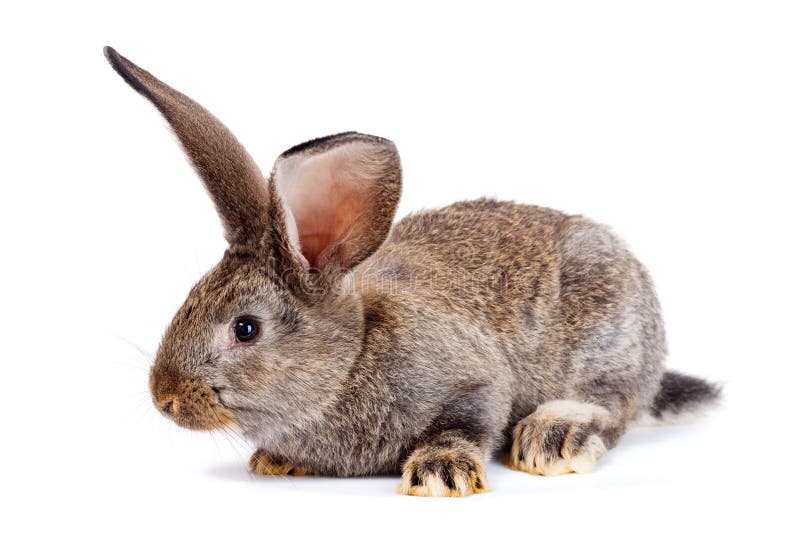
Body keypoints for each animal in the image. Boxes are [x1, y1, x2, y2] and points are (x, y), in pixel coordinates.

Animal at [104, 46, 720, 497]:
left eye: (245, 328)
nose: (164, 397)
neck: (350, 361)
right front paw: (277, 461)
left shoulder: (473, 380)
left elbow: (468, 419)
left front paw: (440, 475)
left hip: (607, 333)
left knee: (612, 403)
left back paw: (552, 437)